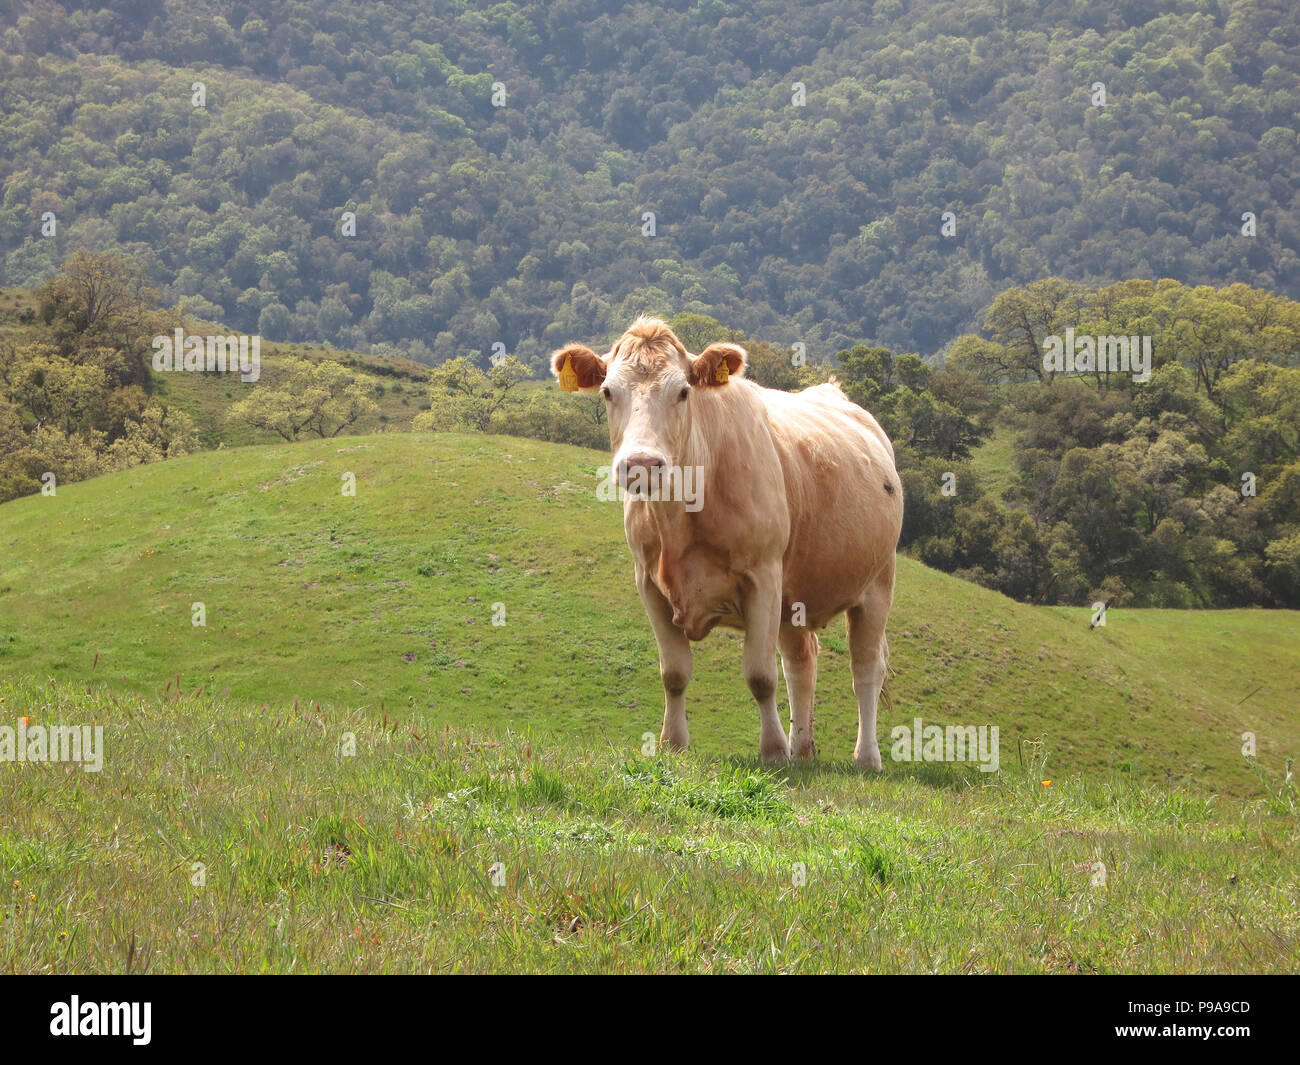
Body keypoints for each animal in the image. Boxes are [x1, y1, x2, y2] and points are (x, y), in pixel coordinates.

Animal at [552, 317, 903, 767]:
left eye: (683, 391)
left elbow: (760, 675)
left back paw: (865, 758)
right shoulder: (648, 582)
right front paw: (673, 744)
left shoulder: (764, 577)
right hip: (795, 596)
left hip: (877, 582)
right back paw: (803, 751)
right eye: (608, 391)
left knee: (865, 669)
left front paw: (773, 752)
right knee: (802, 664)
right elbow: (674, 672)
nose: (642, 464)